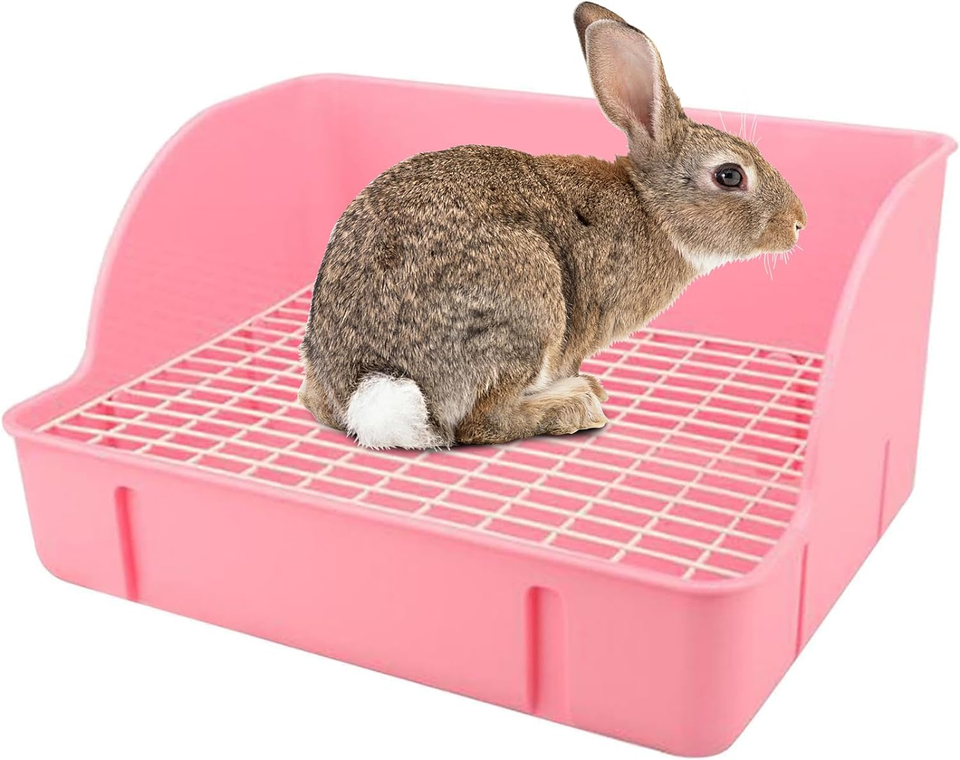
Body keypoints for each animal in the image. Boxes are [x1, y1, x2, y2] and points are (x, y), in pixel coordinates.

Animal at [299, 2, 806, 449]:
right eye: (730, 175)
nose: (799, 222)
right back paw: (575, 404)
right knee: (481, 422)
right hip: (529, 301)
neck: (650, 206)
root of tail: (371, 387)